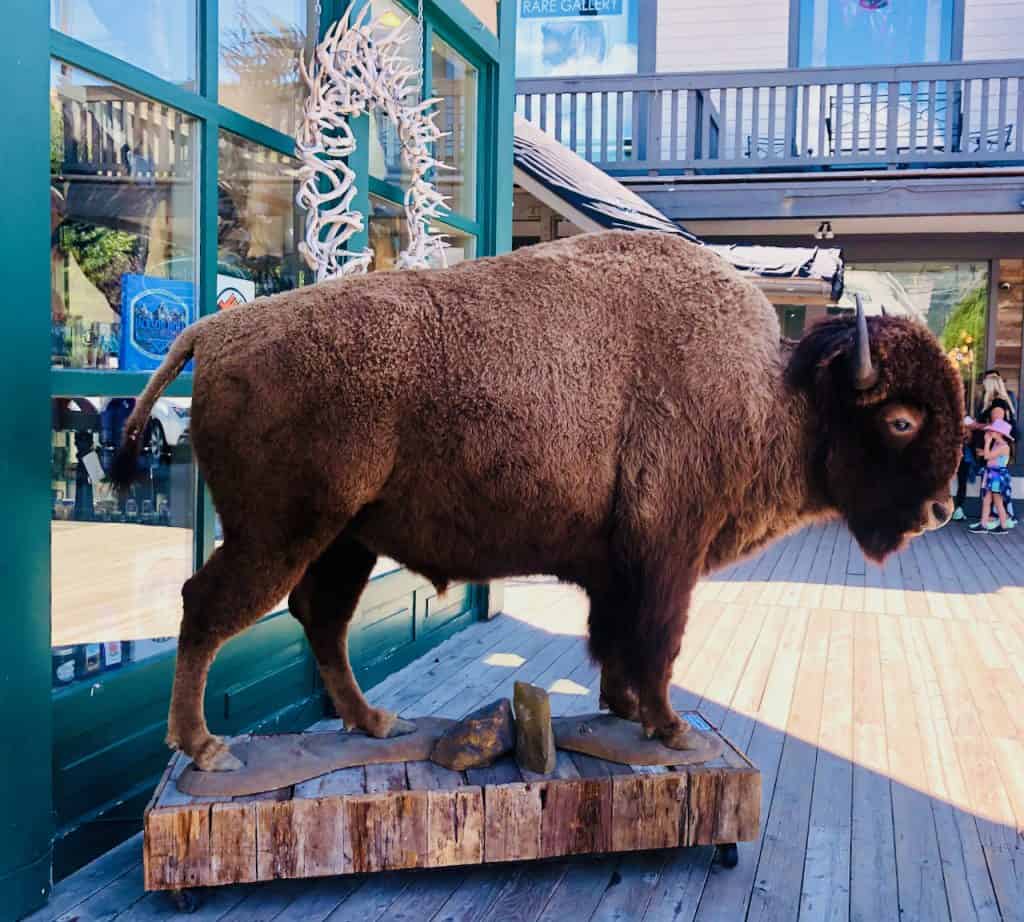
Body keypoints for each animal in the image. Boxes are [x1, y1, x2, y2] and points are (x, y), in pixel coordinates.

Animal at [111, 231, 963, 771]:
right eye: (901, 419)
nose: (940, 512)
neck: (774, 395)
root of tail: (213, 331)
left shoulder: (619, 567)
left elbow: (615, 643)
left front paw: (621, 711)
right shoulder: (669, 555)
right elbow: (657, 644)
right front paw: (673, 731)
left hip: (345, 540)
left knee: (320, 618)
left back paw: (375, 723)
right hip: (281, 532)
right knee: (208, 605)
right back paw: (207, 750)